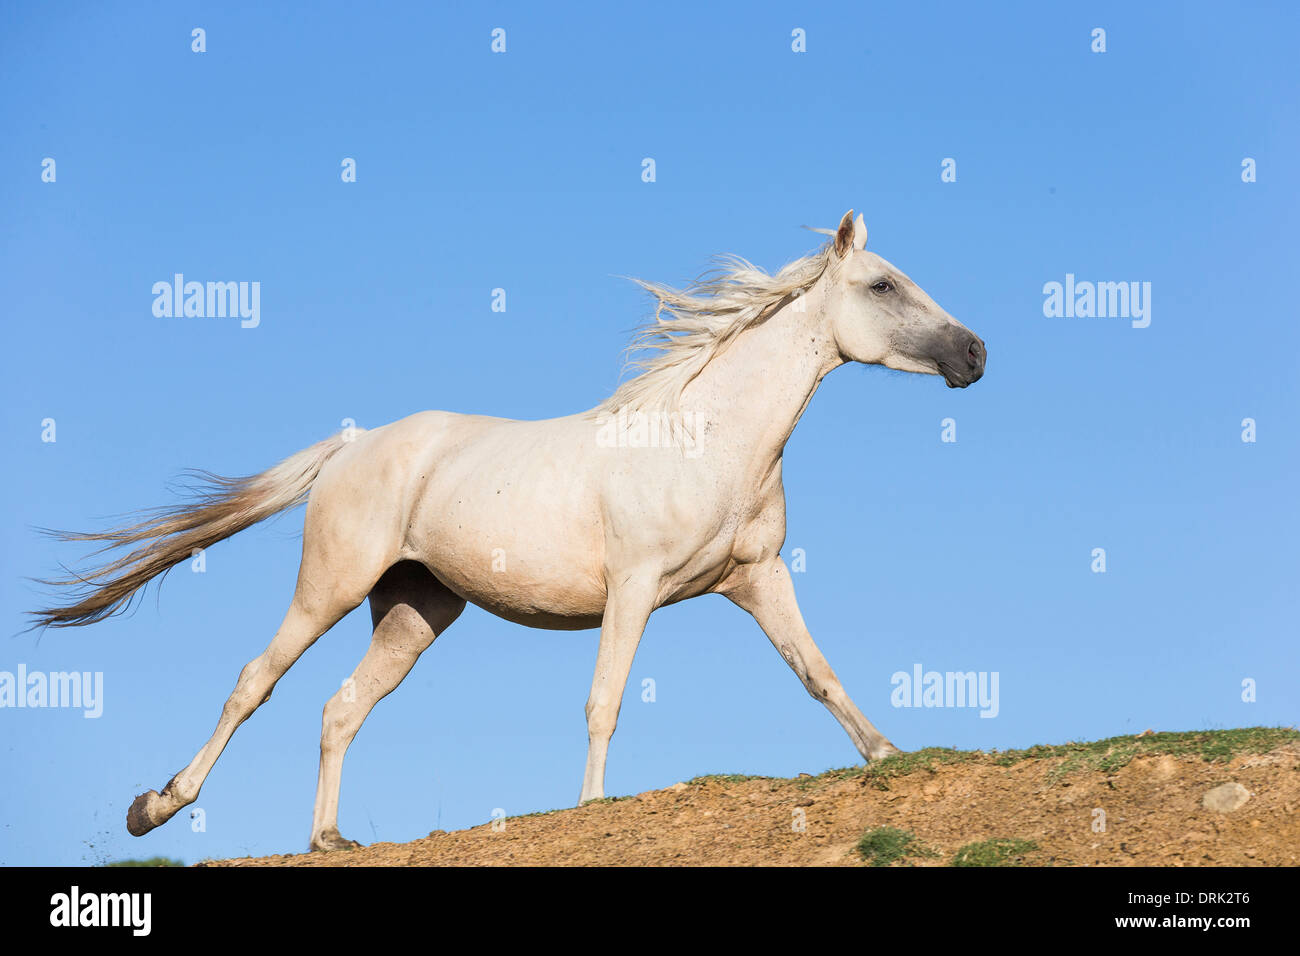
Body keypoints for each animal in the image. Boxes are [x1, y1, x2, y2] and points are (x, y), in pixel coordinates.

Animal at [33, 209, 986, 851]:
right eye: (883, 285)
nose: (974, 354)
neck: (705, 437)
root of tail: (353, 445)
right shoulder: (634, 588)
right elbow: (605, 701)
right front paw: (593, 806)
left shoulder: (757, 579)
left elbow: (819, 675)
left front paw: (888, 754)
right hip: (332, 585)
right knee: (253, 681)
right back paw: (155, 807)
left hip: (415, 612)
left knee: (341, 708)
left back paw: (327, 840)